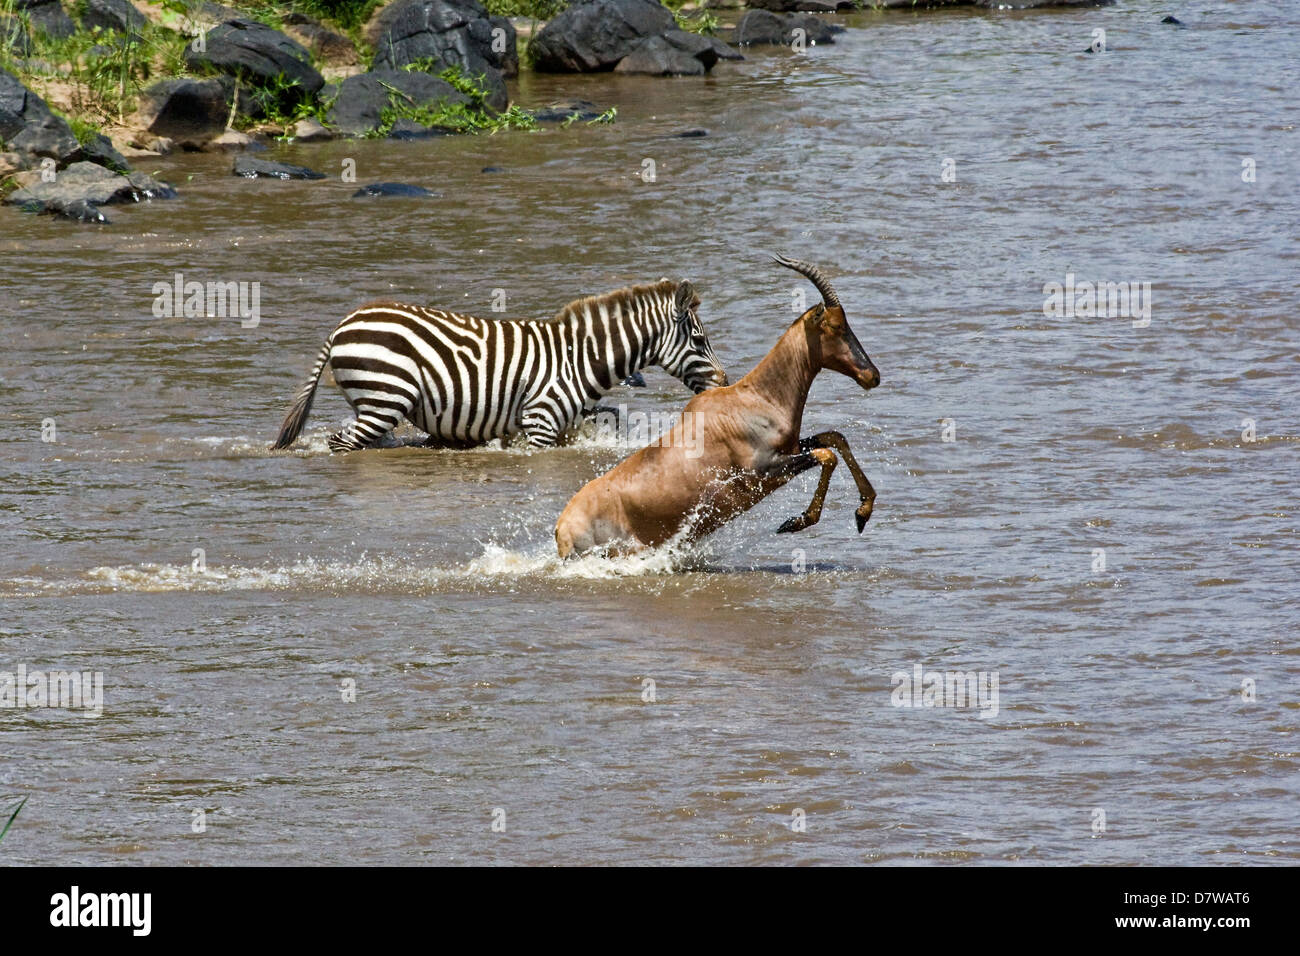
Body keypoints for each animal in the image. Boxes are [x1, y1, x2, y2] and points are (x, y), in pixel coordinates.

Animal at [272, 279, 728, 452]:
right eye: (700, 340)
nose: (725, 381)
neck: (579, 358)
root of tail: (342, 325)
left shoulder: (570, 420)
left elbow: (610, 419)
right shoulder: (541, 422)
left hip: (372, 404)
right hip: (385, 398)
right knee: (341, 443)